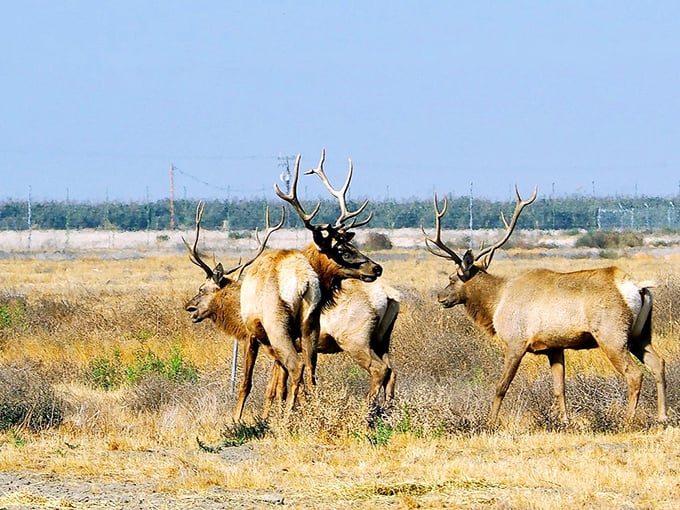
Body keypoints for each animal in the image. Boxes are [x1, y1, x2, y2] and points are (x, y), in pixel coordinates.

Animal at [423, 186, 668, 426]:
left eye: (452, 278)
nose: (440, 297)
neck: (496, 303)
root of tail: (639, 288)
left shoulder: (516, 341)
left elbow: (501, 386)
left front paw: (490, 422)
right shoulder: (554, 346)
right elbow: (560, 388)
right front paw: (565, 421)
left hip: (612, 335)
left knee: (635, 374)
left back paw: (627, 420)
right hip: (640, 334)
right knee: (658, 363)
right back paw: (662, 416)